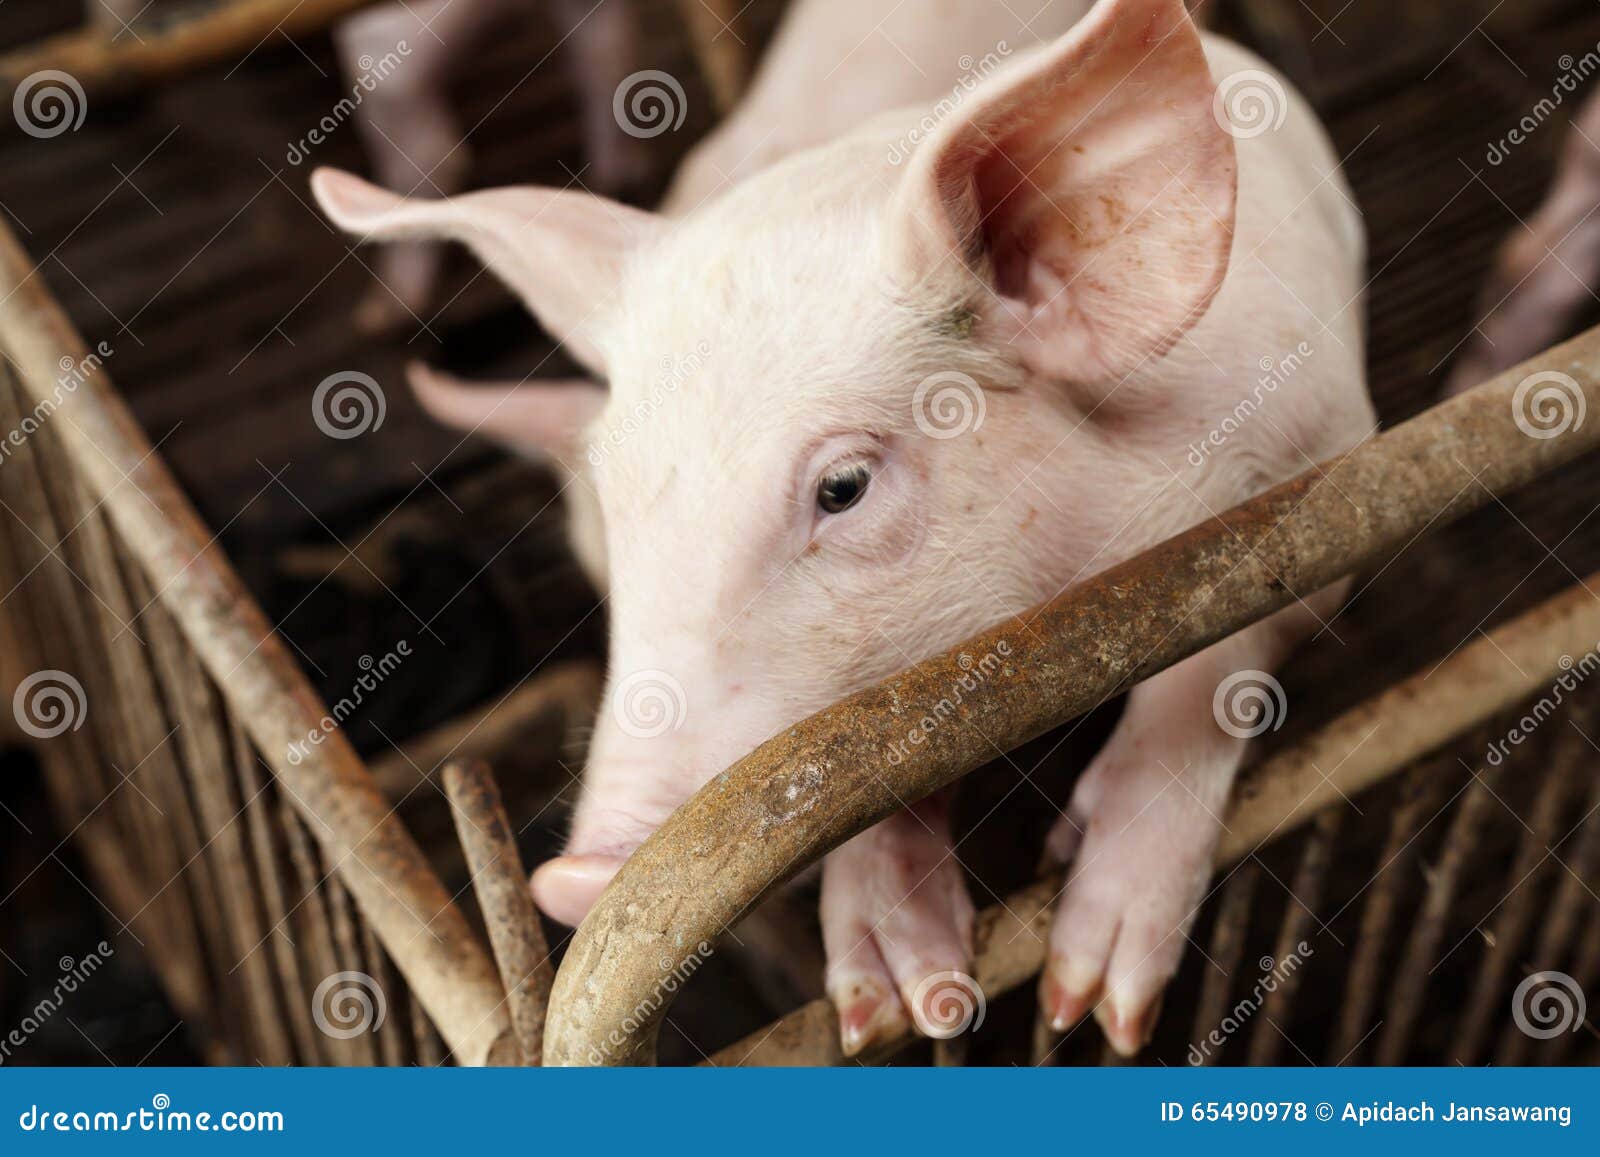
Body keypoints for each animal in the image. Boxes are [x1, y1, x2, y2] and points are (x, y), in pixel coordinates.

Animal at [311, 0, 1374, 1058]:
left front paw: (1093, 998)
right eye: (616, 508)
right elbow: (858, 753)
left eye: (844, 486)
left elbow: (1217, 665)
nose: (575, 876)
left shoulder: (1328, 455)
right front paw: (903, 1002)